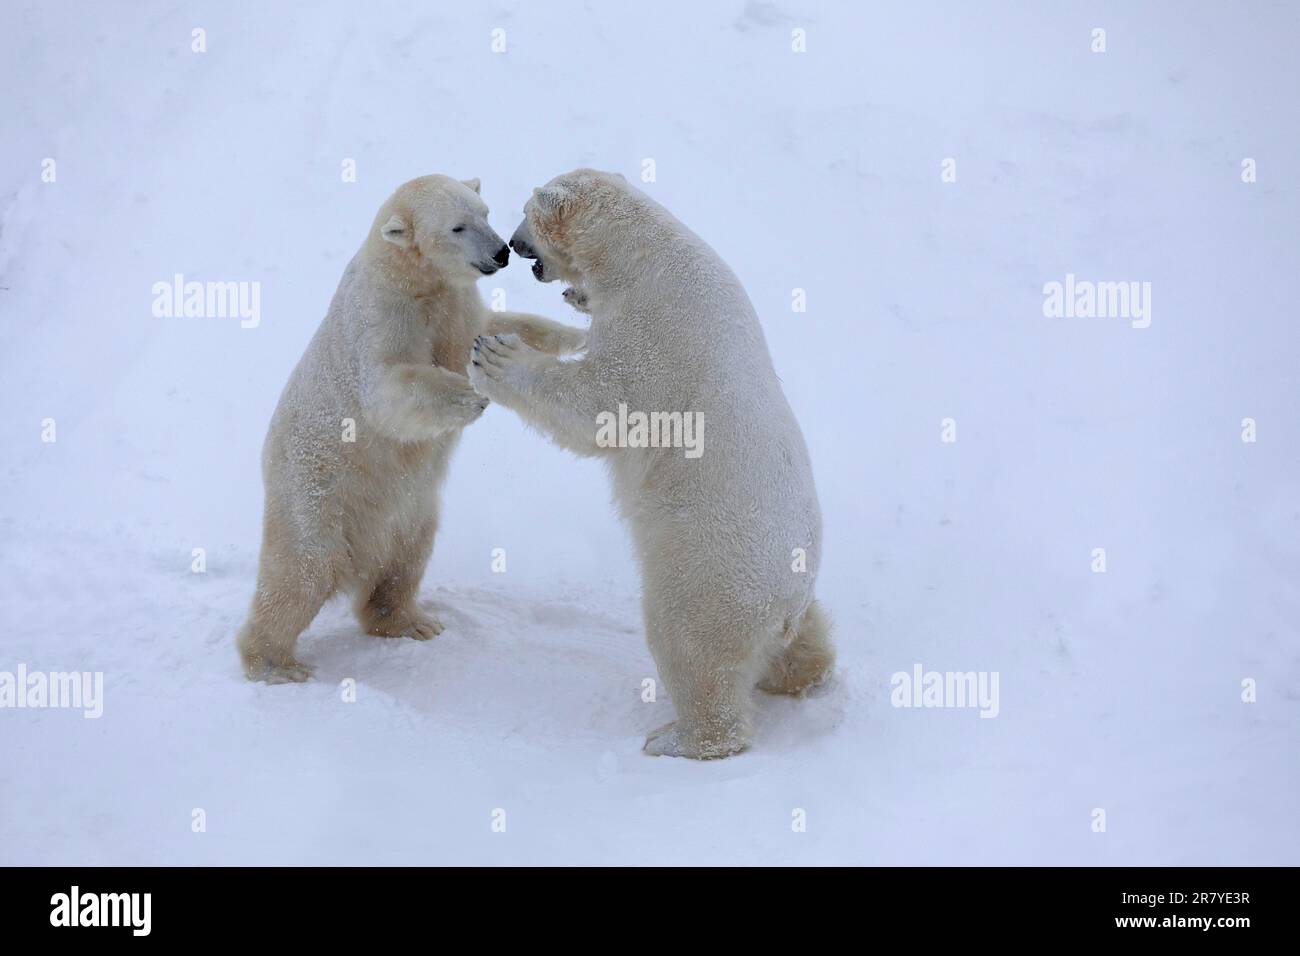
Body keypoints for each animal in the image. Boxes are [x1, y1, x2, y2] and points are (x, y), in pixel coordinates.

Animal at [238, 174, 586, 683]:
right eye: (458, 226)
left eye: (484, 212)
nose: (501, 251)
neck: (413, 277)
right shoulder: (385, 312)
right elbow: (387, 390)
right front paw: (468, 396)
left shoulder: (456, 306)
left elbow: (496, 327)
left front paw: (573, 335)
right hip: (317, 493)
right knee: (303, 570)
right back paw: (275, 663)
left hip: (408, 511)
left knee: (403, 560)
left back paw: (412, 622)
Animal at [467, 168, 832, 758]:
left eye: (525, 210)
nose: (515, 245)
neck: (640, 251)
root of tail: (784, 603)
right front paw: (575, 296)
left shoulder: (654, 330)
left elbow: (599, 406)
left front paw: (496, 356)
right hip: (787, 601)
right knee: (807, 642)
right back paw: (800, 673)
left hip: (705, 571)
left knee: (688, 645)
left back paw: (677, 739)